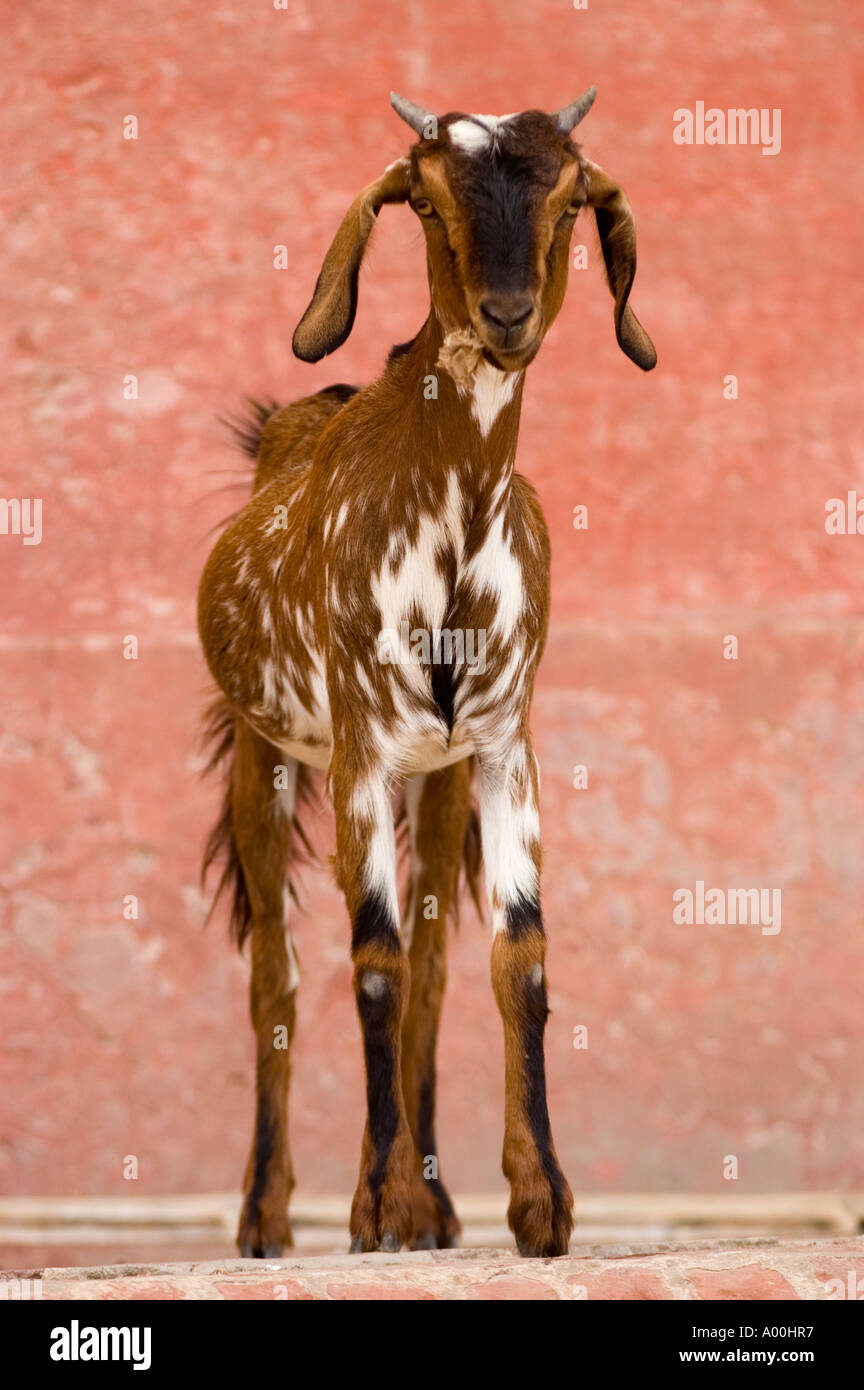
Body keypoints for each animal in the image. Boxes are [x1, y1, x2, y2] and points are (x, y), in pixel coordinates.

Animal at [198, 87, 656, 1258]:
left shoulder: (500, 745)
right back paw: (268, 1216)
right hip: (267, 754)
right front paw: (376, 1204)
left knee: (439, 959)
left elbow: (513, 956)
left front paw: (537, 1202)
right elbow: (371, 962)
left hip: (436, 779)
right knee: (278, 976)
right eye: (431, 200)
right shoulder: (358, 749)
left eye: (570, 199)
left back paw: (441, 1203)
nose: (505, 315)